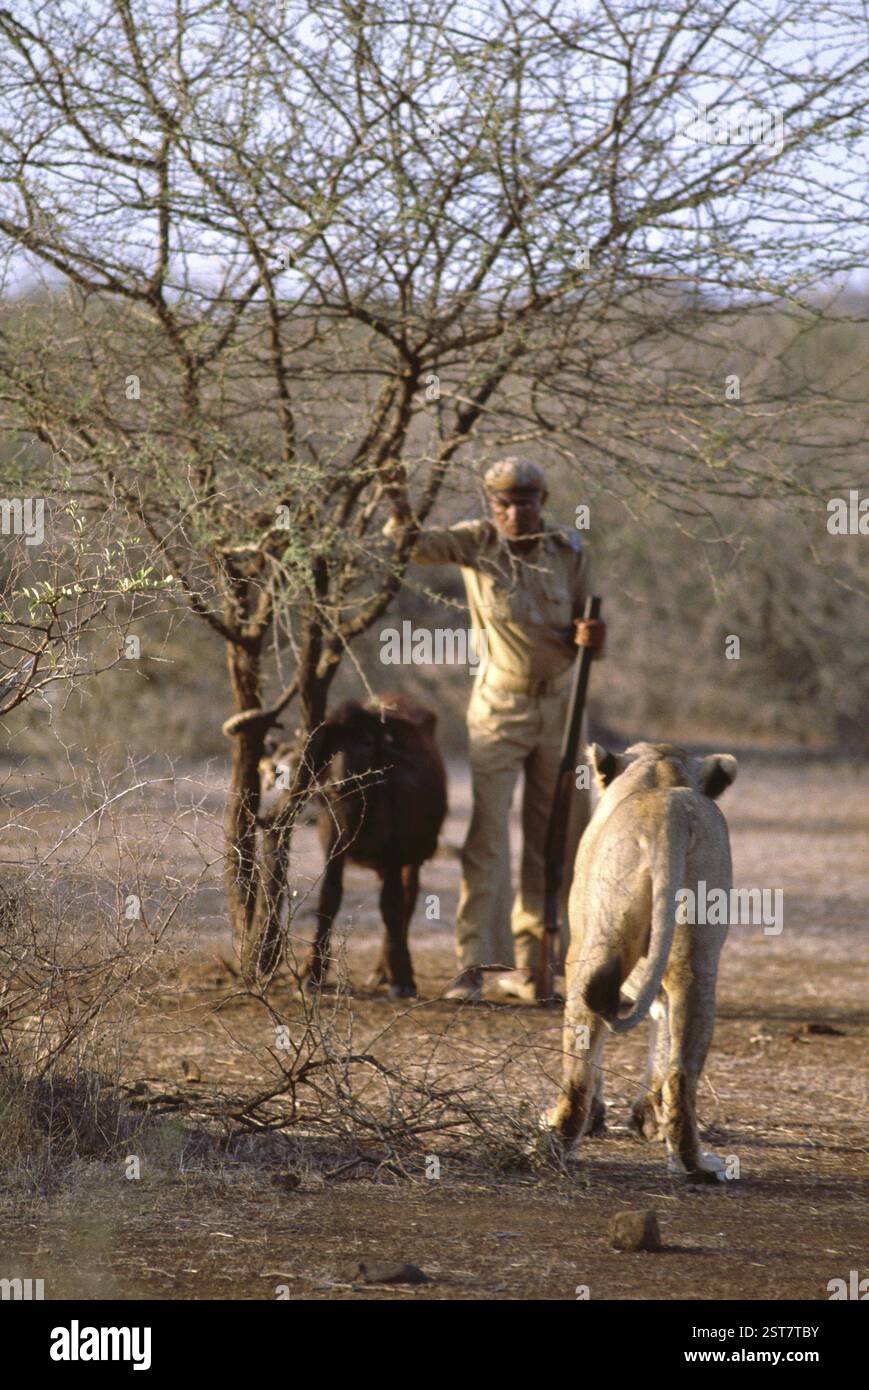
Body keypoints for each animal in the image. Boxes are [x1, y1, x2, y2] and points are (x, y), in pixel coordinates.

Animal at [545, 741, 738, 1182]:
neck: (660, 769)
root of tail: (670, 815)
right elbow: (662, 1044)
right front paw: (649, 1119)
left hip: (599, 941)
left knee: (582, 1052)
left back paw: (556, 1139)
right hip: (696, 959)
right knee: (682, 1069)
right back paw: (692, 1161)